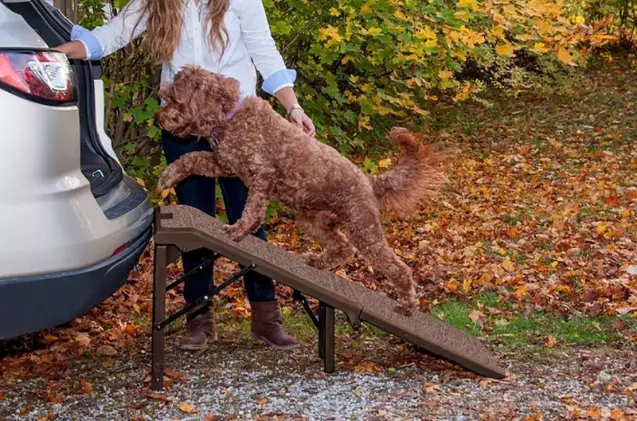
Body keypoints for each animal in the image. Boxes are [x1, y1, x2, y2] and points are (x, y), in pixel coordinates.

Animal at [155, 65, 452, 314]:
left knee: (397, 268)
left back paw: (407, 304)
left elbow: (252, 209)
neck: (230, 115)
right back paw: (318, 262)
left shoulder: (262, 175)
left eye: (174, 99)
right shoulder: (224, 163)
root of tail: (369, 181)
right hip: (312, 219)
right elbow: (191, 159)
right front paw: (167, 178)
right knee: (342, 247)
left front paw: (238, 230)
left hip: (363, 226)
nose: (159, 119)